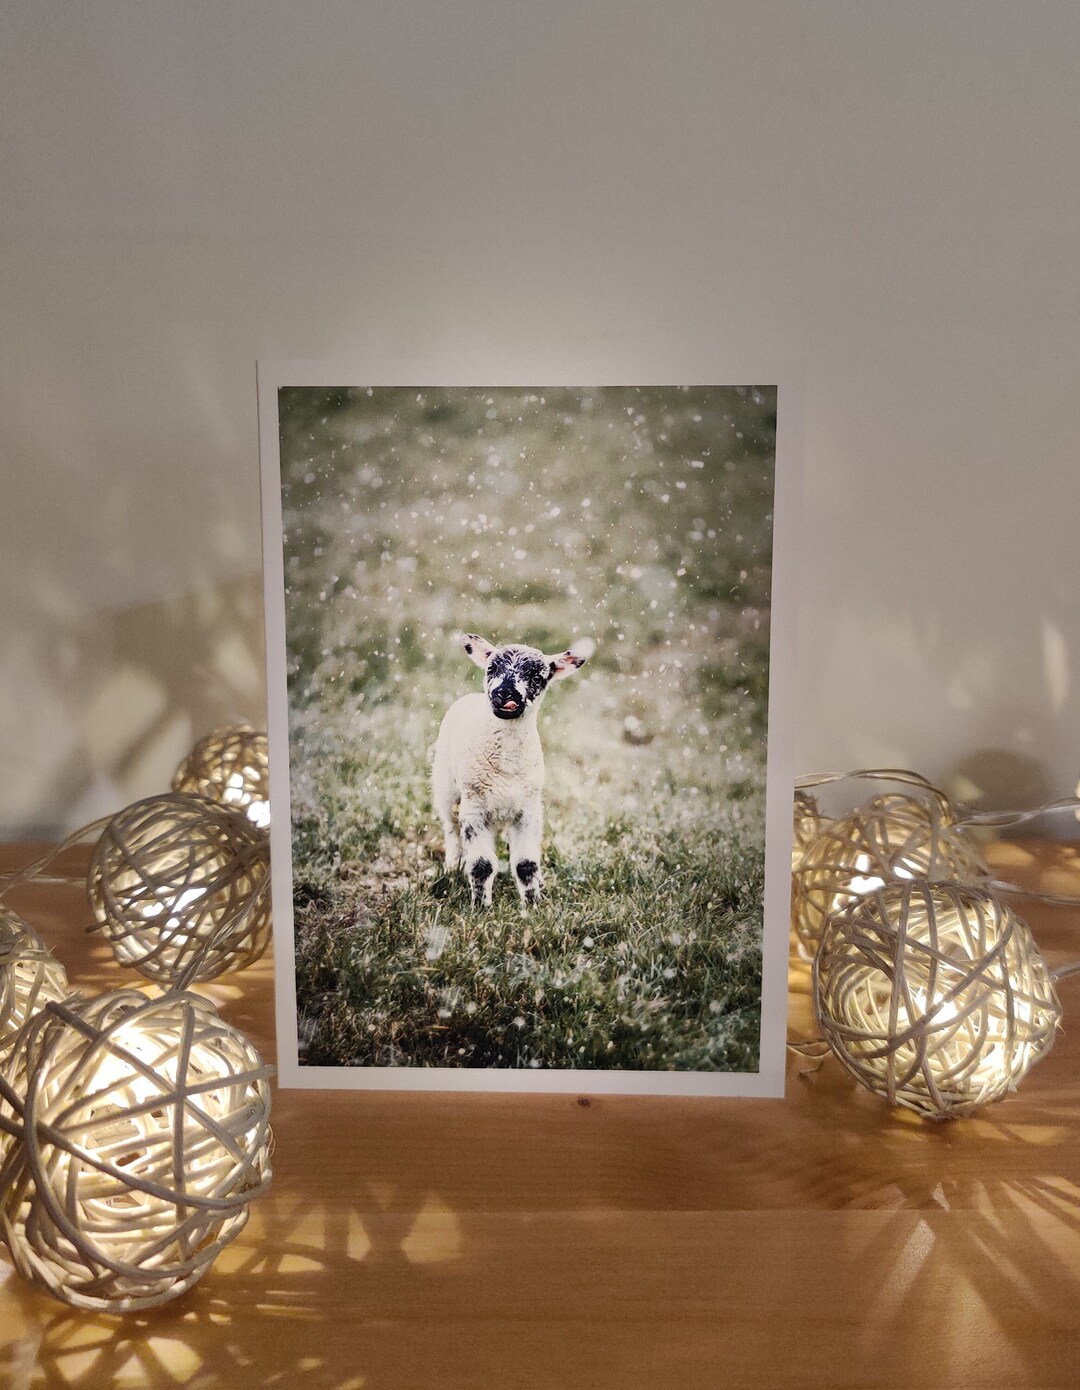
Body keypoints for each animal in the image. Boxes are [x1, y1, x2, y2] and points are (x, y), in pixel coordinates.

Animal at [431, 632, 595, 907]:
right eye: (491, 669)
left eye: (537, 677)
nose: (504, 693)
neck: (506, 763)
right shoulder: (474, 810)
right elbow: (482, 865)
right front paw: (480, 907)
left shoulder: (527, 812)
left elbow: (526, 864)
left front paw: (533, 905)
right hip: (446, 788)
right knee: (451, 830)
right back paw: (453, 868)